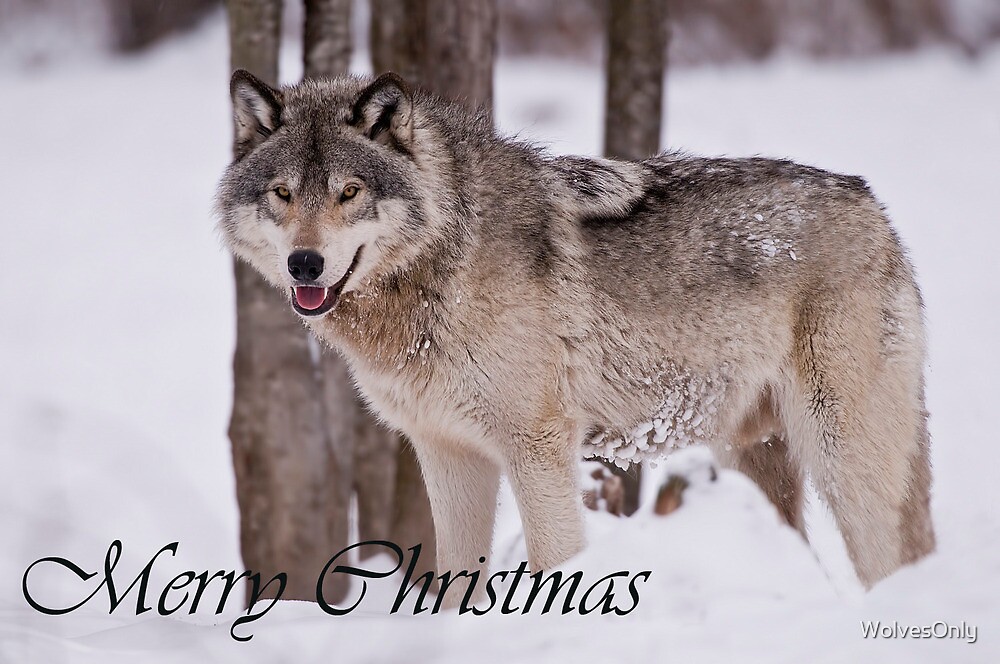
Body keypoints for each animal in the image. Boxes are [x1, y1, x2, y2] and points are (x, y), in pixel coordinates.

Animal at [215, 70, 935, 596]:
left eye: (349, 193)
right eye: (283, 194)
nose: (304, 264)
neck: (443, 262)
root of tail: (872, 203)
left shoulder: (538, 452)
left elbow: (553, 562)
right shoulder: (448, 454)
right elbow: (452, 584)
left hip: (844, 464)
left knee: (889, 560)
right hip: (749, 461)